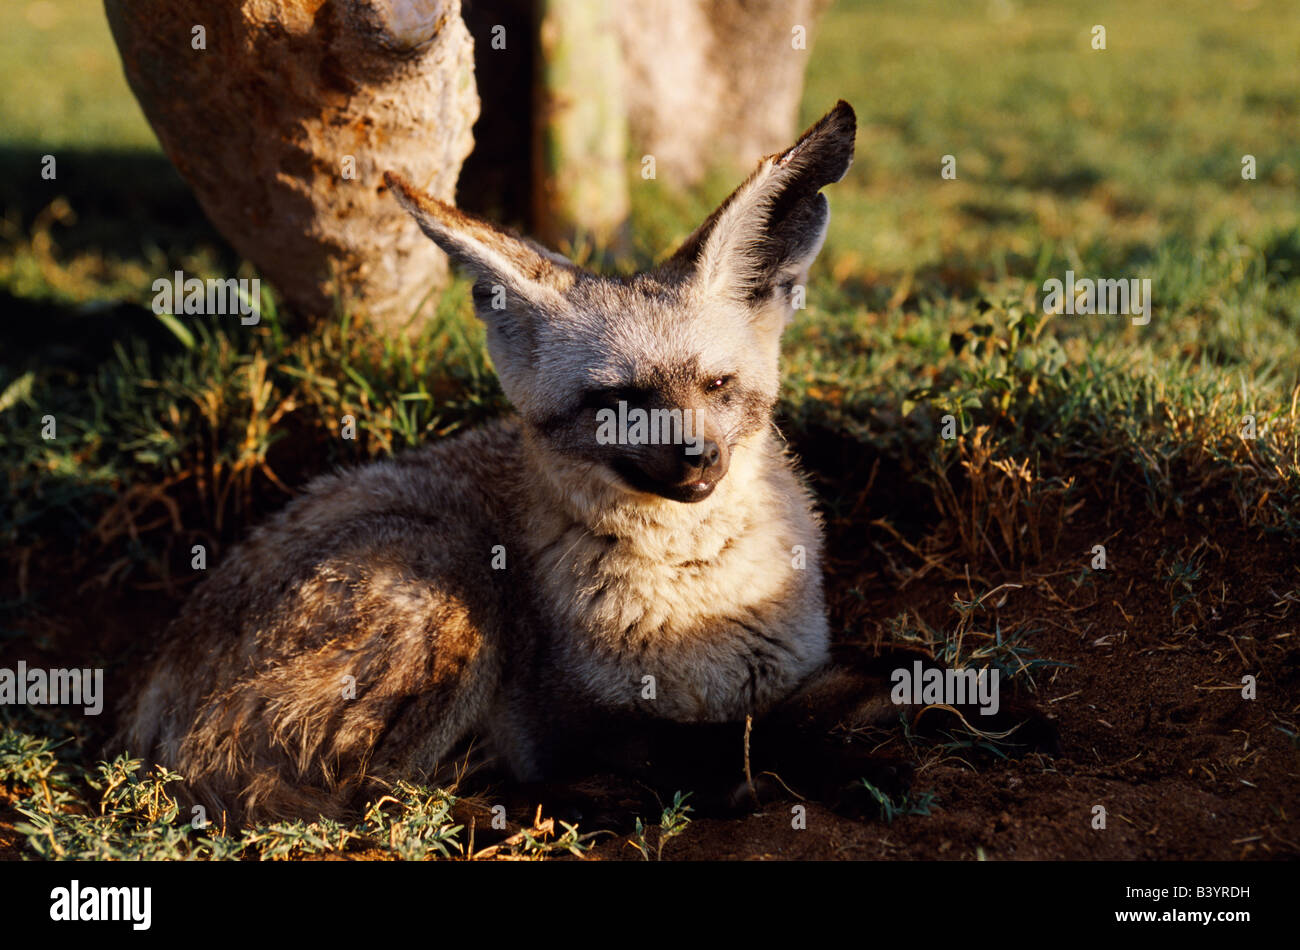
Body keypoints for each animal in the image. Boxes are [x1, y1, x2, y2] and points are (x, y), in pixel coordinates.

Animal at [117, 101, 1052, 826]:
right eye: (618, 401)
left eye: (717, 385)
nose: (696, 459)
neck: (699, 604)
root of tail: (145, 695)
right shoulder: (570, 723)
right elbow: (753, 737)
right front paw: (852, 765)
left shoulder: (797, 660)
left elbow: (880, 672)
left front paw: (981, 705)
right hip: (453, 589)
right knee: (357, 798)